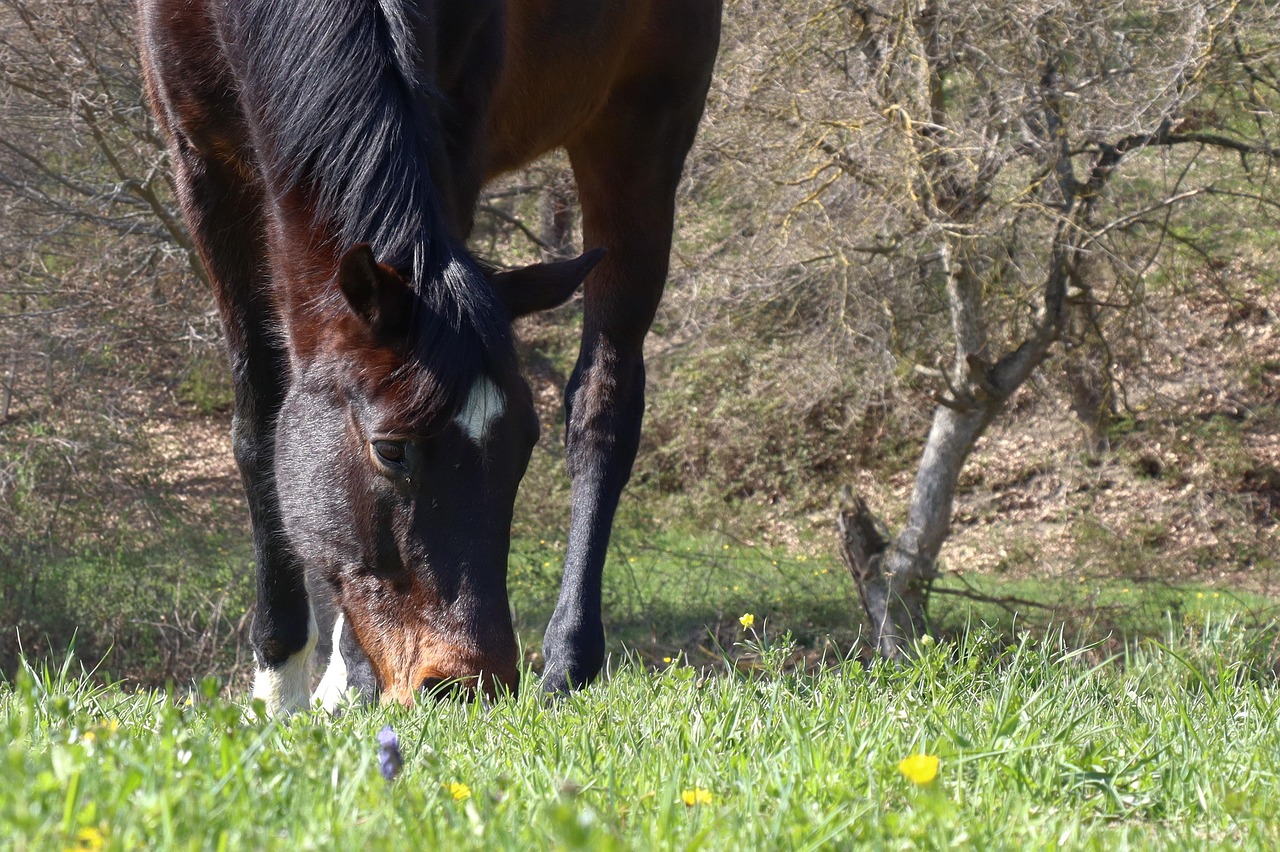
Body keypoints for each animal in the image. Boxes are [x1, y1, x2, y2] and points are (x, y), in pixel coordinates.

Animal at [137, 0, 722, 714]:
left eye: (522, 447)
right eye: (391, 449)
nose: (468, 684)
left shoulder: (457, 137)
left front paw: (351, 681)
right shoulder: (206, 168)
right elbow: (260, 431)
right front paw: (280, 685)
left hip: (639, 139)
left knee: (601, 410)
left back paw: (567, 664)